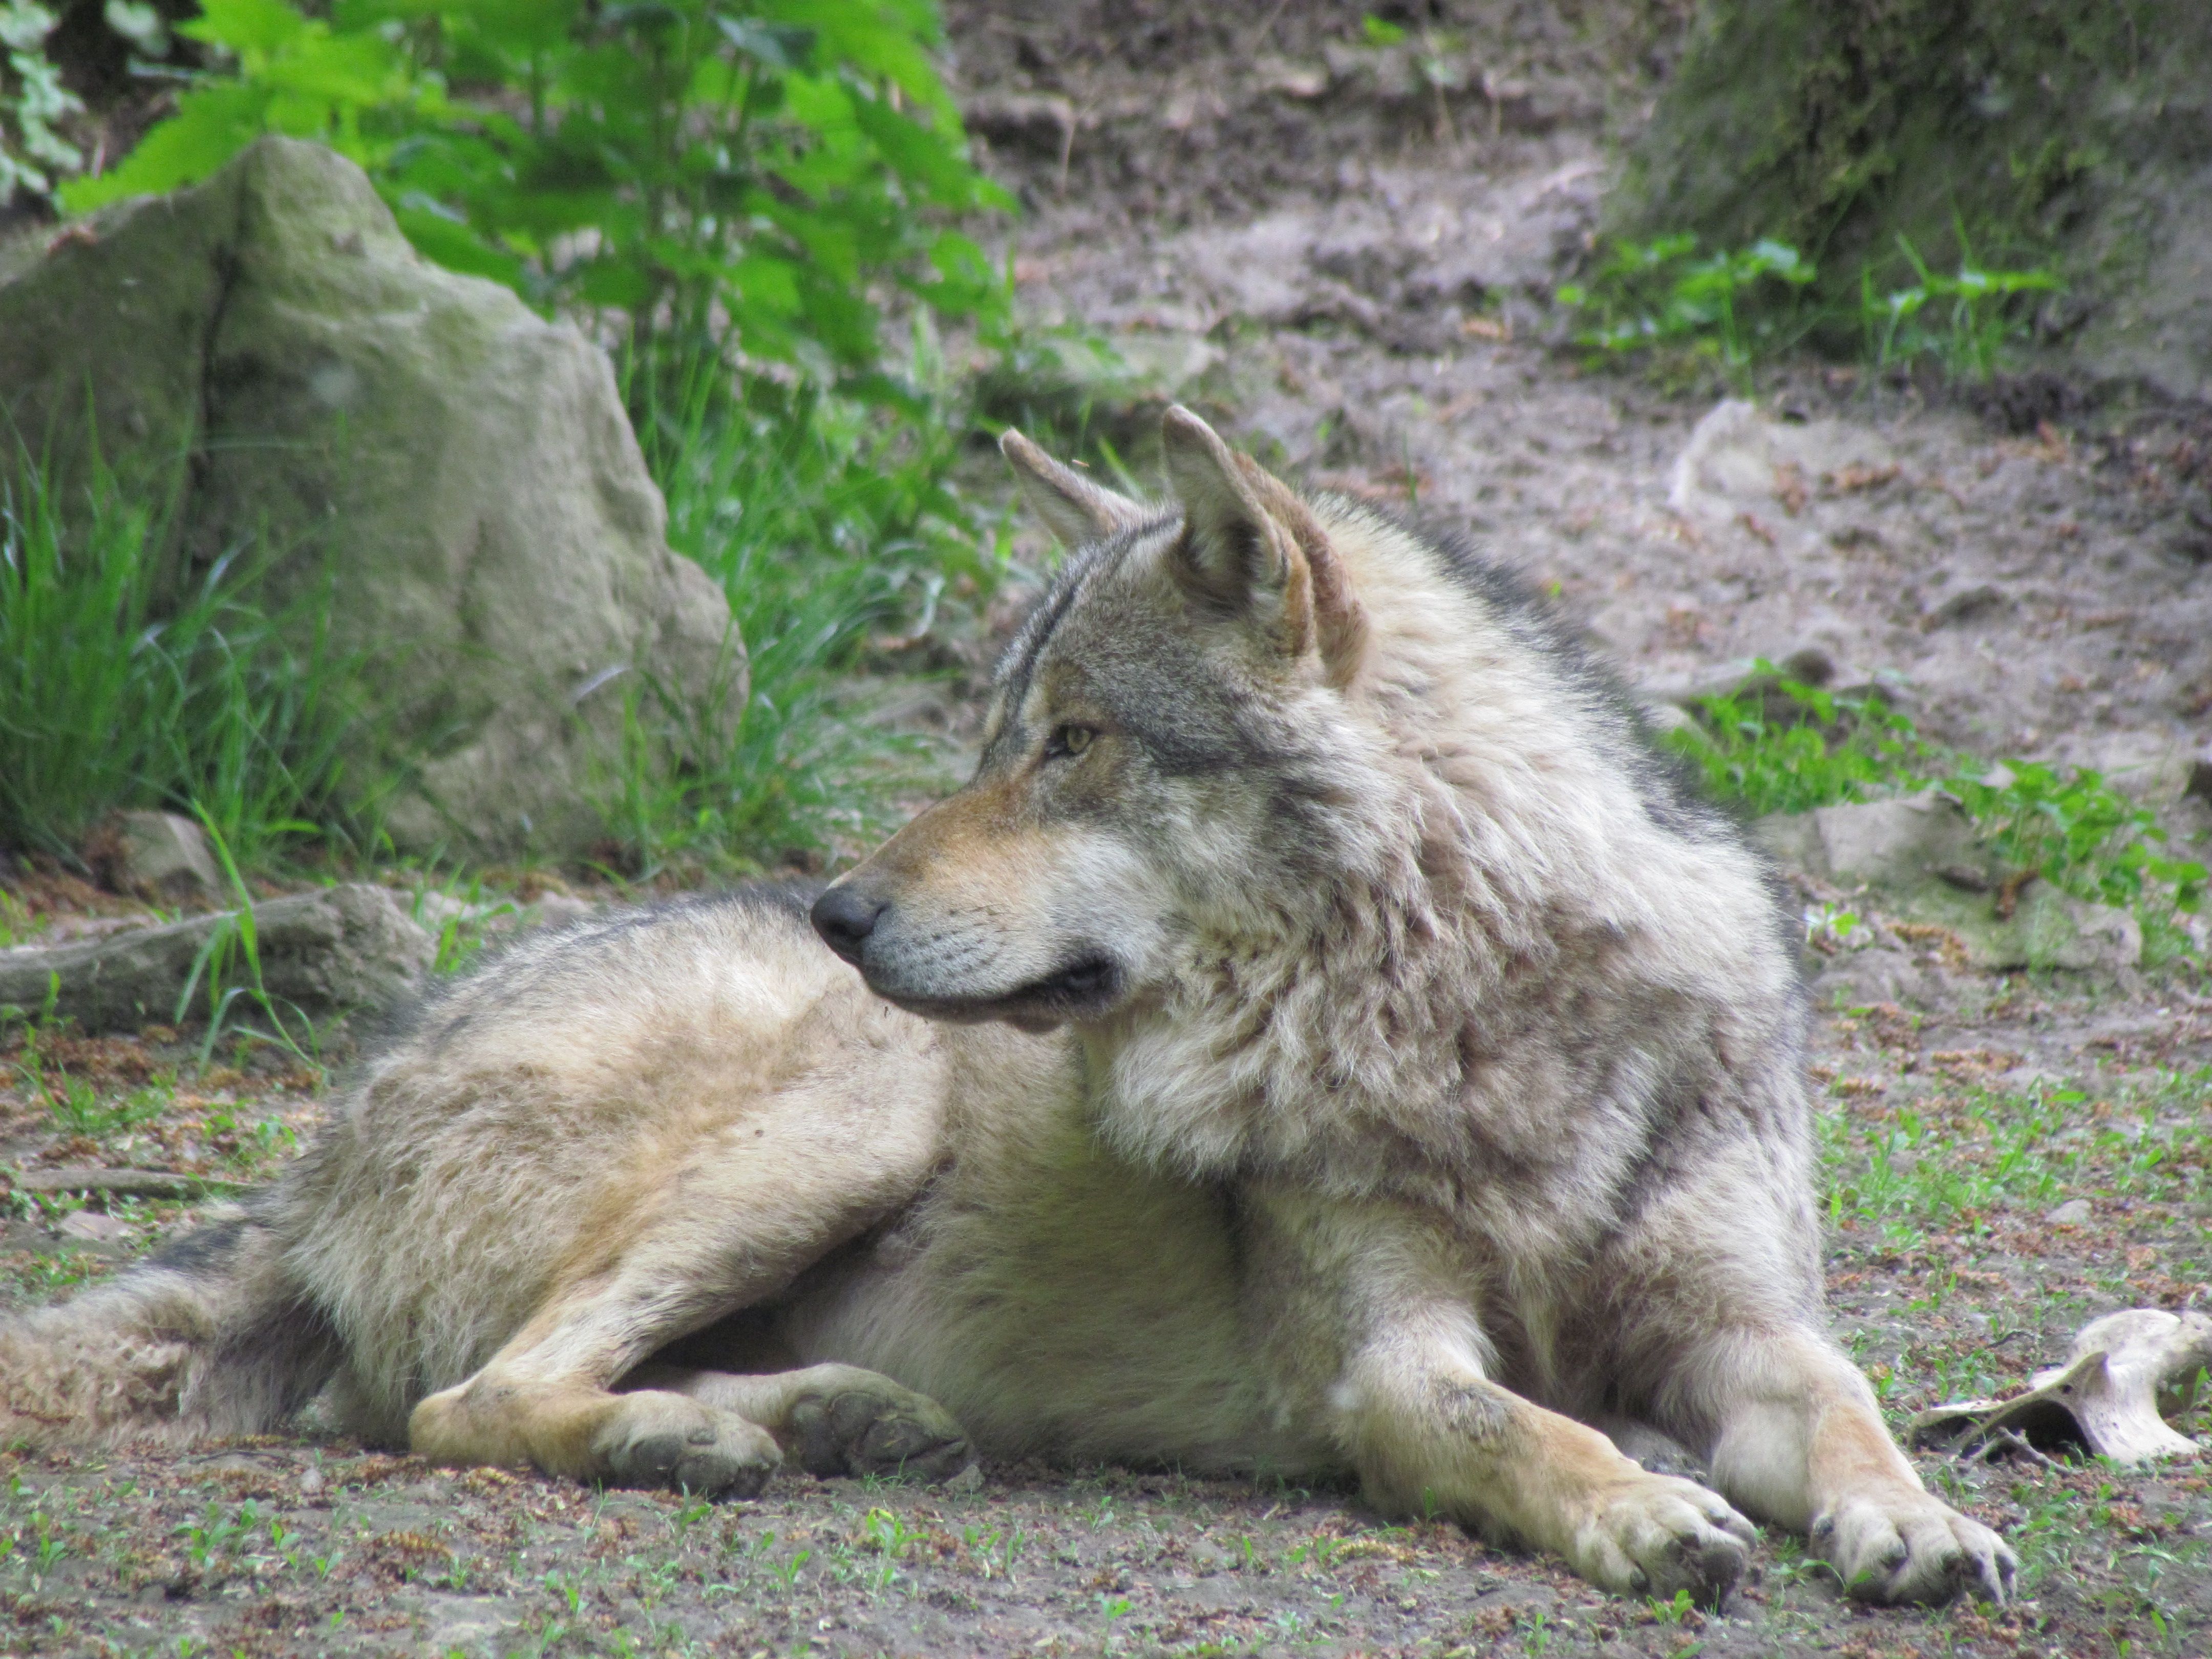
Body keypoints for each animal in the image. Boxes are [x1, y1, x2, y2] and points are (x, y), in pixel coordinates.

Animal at [0, 408, 2013, 1607]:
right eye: (988, 740)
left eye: (1070, 744)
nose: (841, 911)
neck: (1475, 1012)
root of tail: (317, 1145)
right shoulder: (1387, 1363)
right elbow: (1524, 1427)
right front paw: (1647, 1507)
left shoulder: (1742, 1319)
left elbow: (1847, 1399)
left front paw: (1919, 1518)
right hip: (854, 1112)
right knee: (469, 1402)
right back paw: (699, 1440)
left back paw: (821, 1418)